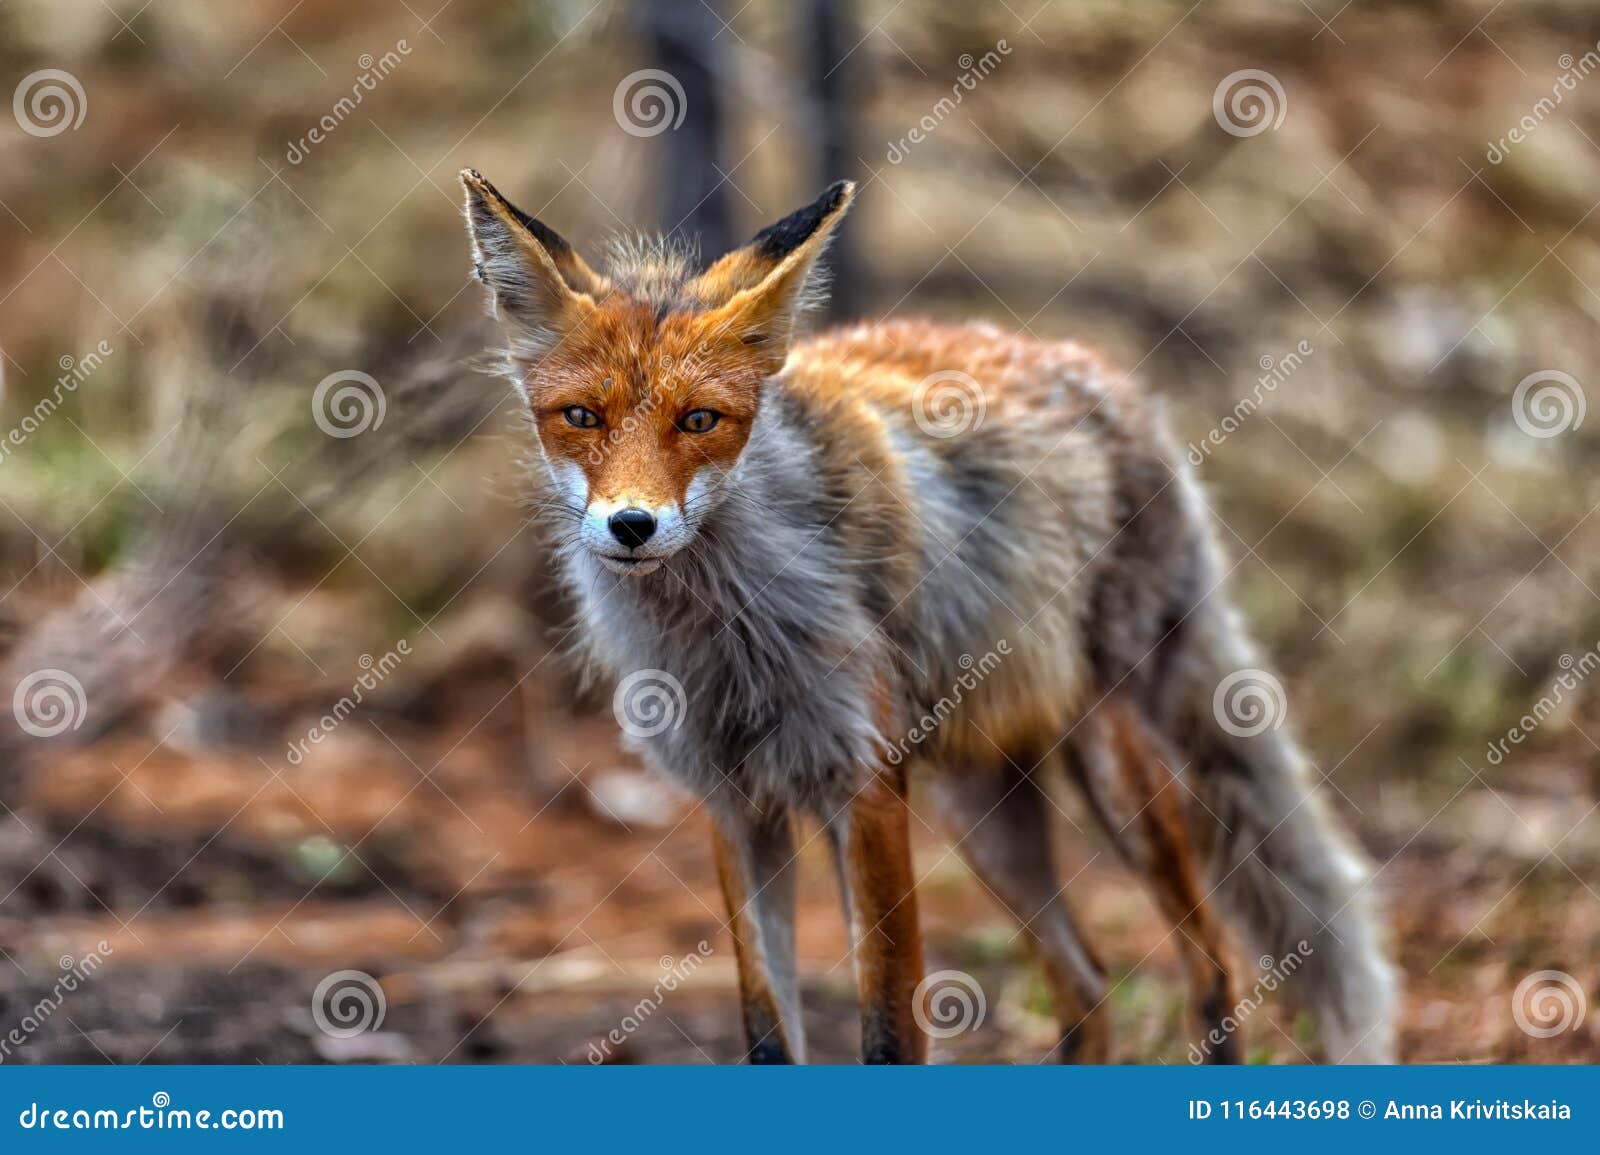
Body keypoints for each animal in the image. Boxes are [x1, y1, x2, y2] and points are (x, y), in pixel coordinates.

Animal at [459, 169, 1398, 1065]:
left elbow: (890, 1033)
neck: (722, 637)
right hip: (977, 809)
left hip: (1109, 768)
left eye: (700, 420)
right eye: (581, 415)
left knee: (1210, 967)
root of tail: (1110, 381)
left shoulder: (865, 784)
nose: (631, 525)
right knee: (1089, 986)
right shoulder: (736, 803)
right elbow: (768, 1036)